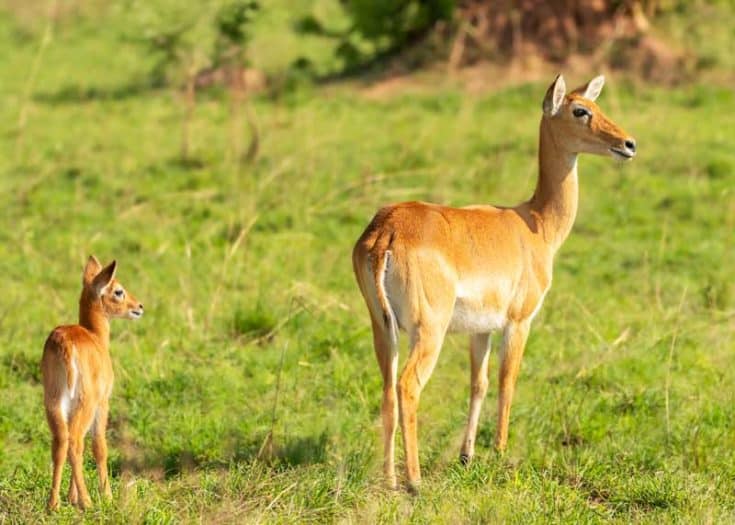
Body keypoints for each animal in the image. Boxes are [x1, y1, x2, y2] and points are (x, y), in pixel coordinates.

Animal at [41, 256, 143, 510]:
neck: (95, 336)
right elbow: (99, 446)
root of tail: (64, 344)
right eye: (118, 290)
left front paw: (71, 496)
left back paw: (53, 504)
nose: (139, 307)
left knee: (61, 442)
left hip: (54, 402)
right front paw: (106, 495)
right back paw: (88, 502)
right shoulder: (104, 402)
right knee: (75, 441)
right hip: (86, 403)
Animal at [352, 75, 636, 493]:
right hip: (428, 330)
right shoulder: (519, 322)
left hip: (382, 327)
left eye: (595, 104)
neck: (535, 224)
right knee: (408, 386)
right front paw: (501, 452)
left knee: (388, 388)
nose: (628, 144)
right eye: (579, 110)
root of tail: (385, 231)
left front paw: (467, 455)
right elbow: (508, 380)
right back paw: (414, 480)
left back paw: (389, 479)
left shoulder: (480, 329)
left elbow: (479, 383)